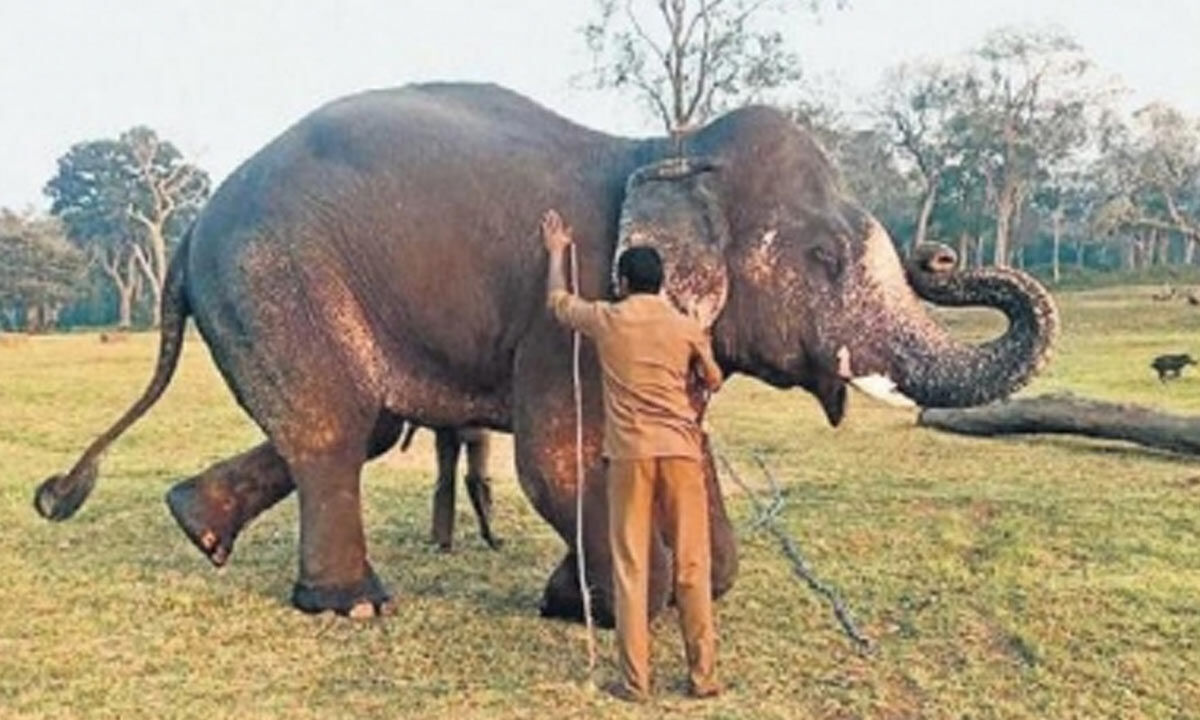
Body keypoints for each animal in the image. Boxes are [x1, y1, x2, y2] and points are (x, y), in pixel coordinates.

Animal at [34, 82, 1058, 622]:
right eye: (828, 258)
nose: (941, 254)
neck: (668, 148)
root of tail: (190, 227)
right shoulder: (570, 315)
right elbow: (560, 459)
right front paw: (610, 606)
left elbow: (675, 448)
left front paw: (626, 596)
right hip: (274, 280)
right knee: (334, 433)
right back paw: (352, 605)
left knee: (356, 429)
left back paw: (197, 525)